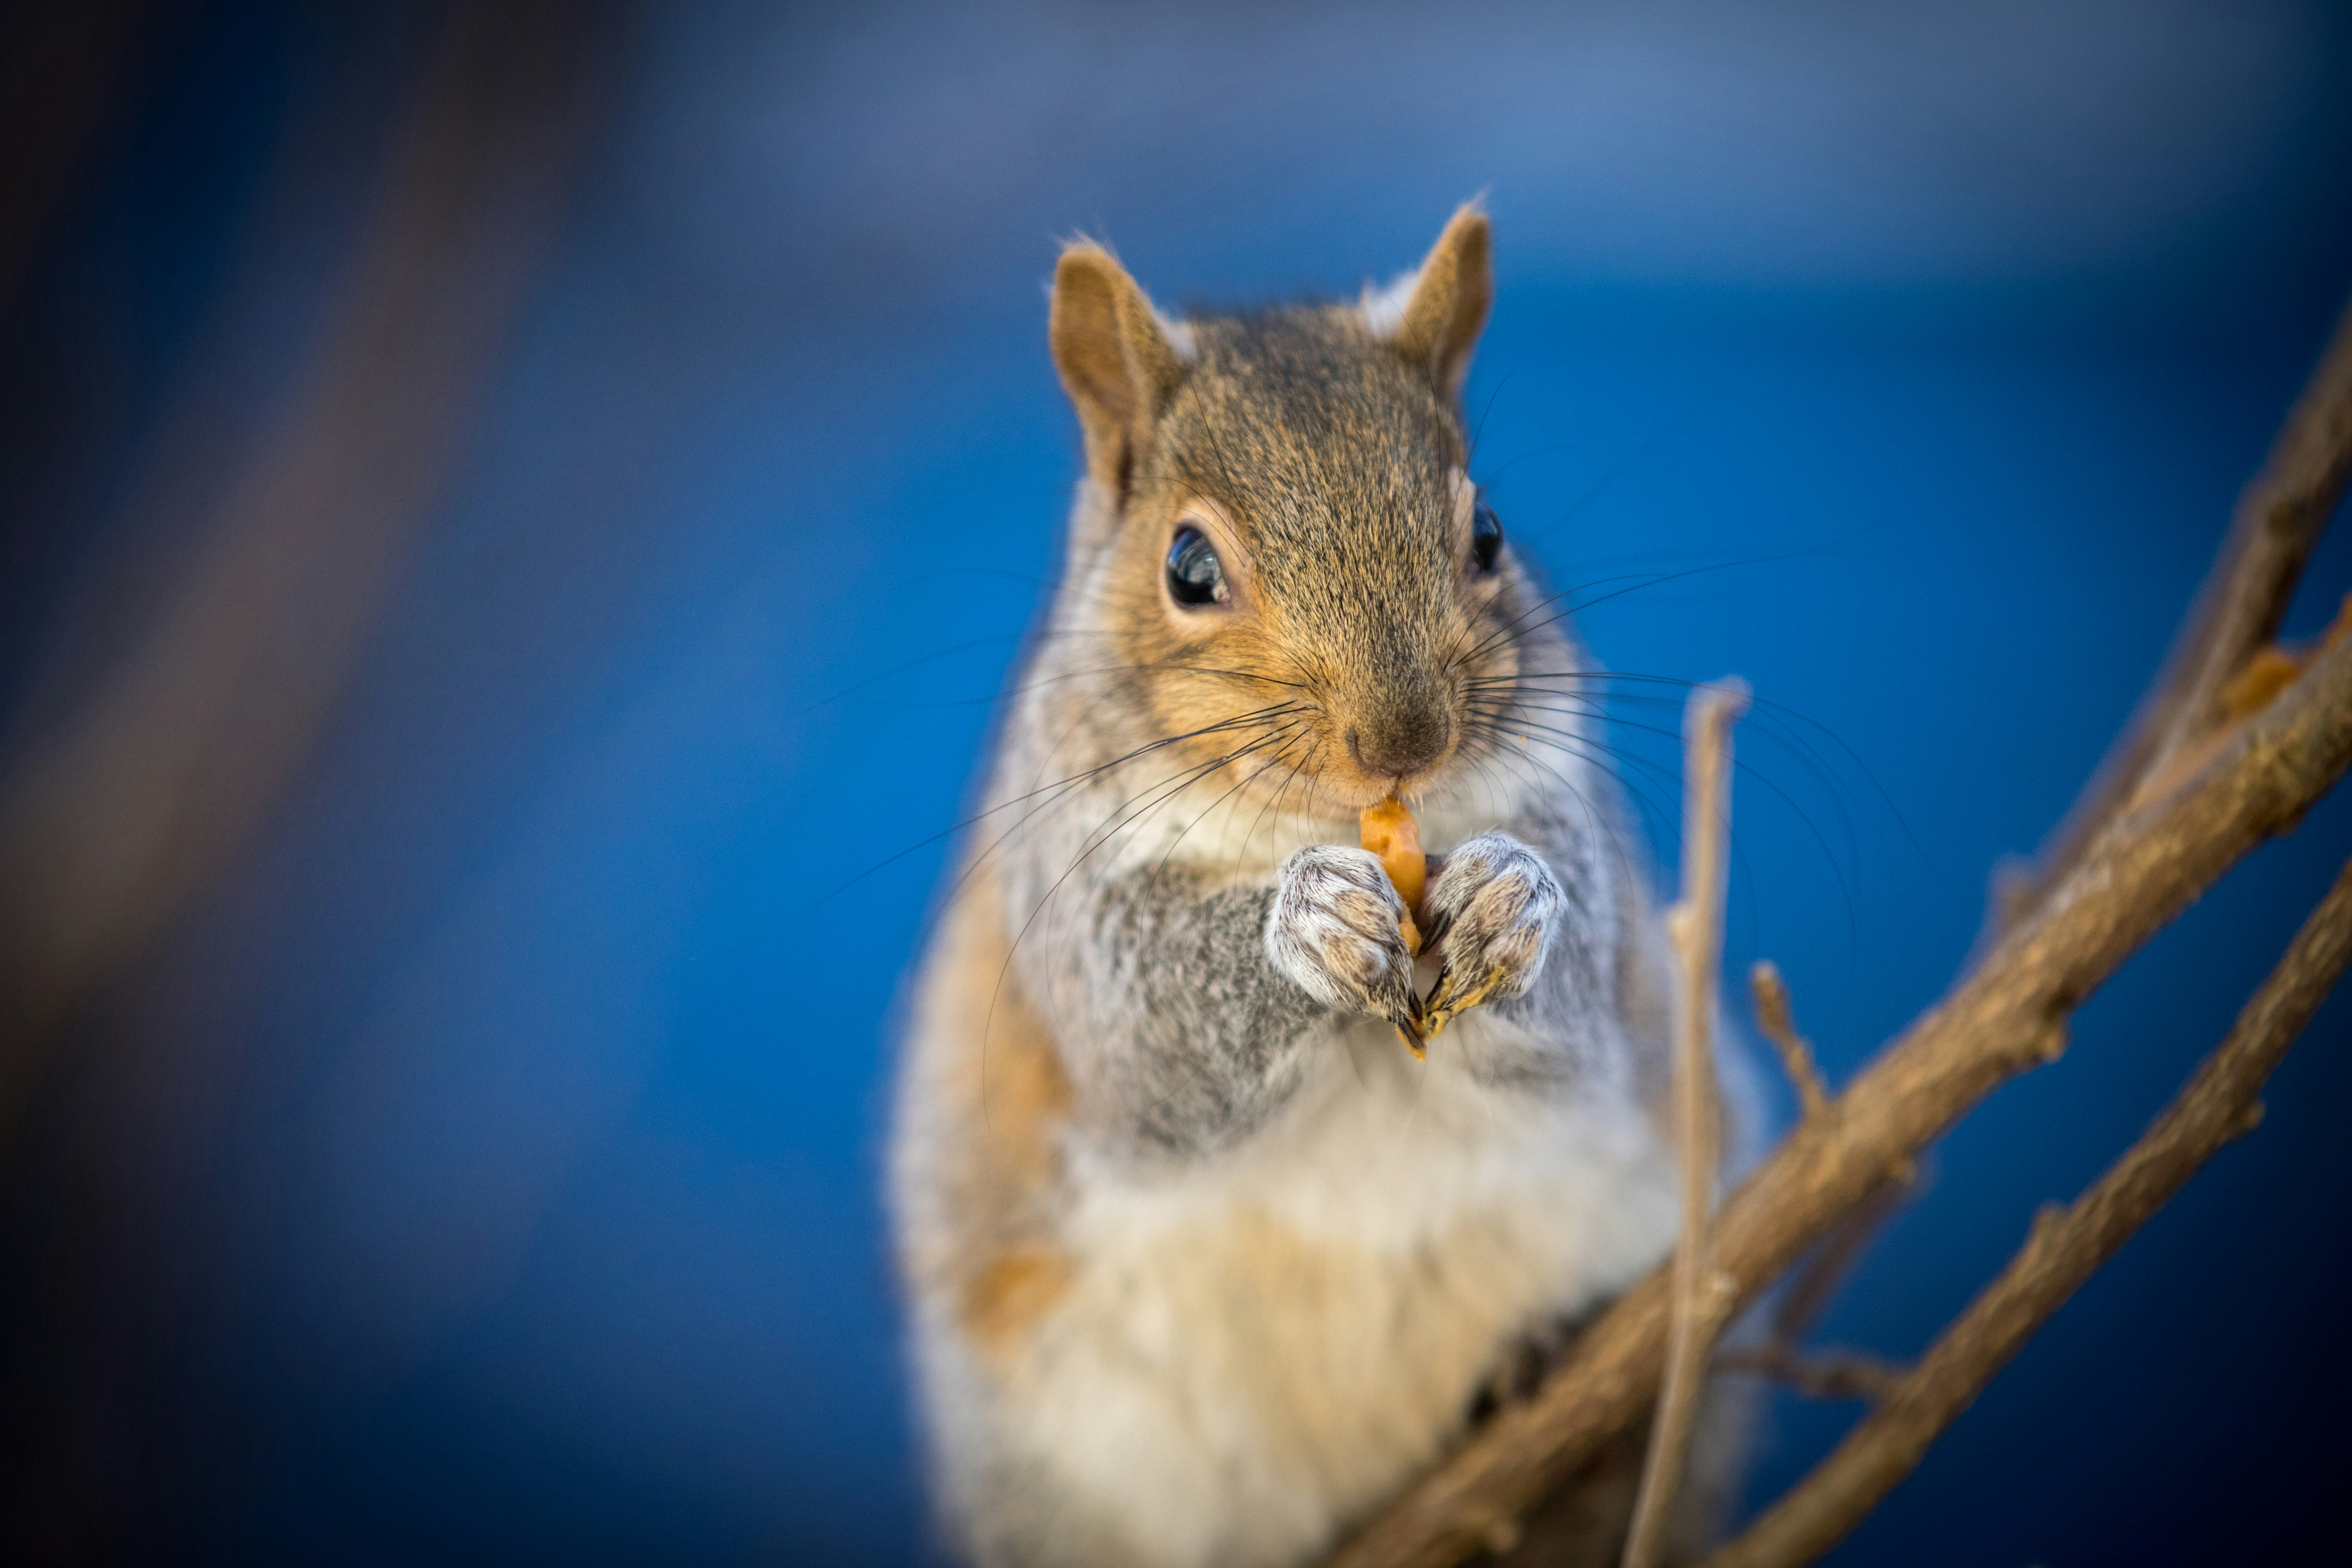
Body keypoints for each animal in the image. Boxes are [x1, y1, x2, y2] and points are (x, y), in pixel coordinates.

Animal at [890, 206, 1758, 1568]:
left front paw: (1515, 900)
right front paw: (1301, 922)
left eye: (1487, 533)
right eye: (1187, 565)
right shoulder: (1065, 908)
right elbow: (1153, 1038)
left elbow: (1583, 1005)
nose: (1402, 735)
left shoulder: (1581, 836)